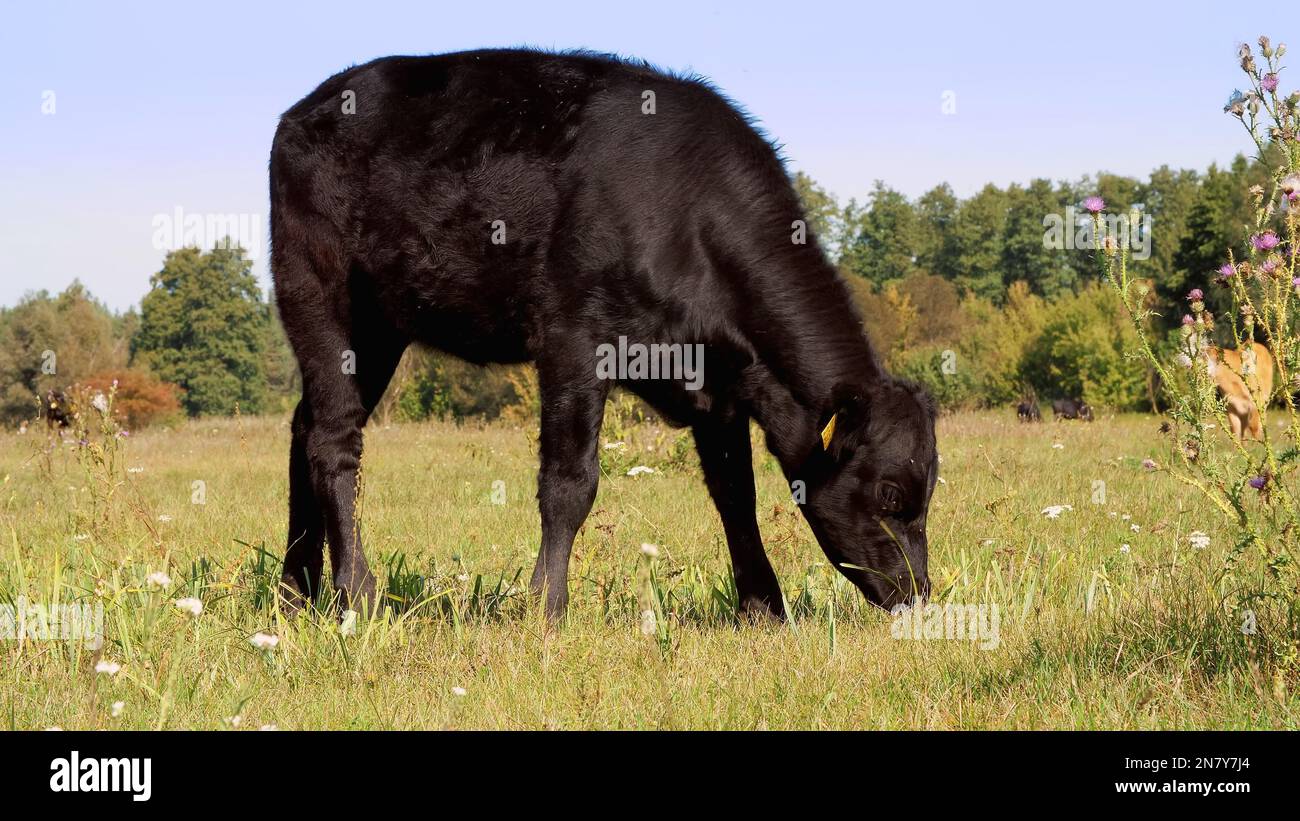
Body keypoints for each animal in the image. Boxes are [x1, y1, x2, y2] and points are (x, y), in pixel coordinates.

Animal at [269, 49, 938, 621]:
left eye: (927, 490)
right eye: (888, 494)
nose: (918, 593)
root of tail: (306, 107)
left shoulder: (721, 381)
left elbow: (735, 492)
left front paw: (763, 609)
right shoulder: (574, 342)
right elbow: (570, 482)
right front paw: (546, 608)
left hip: (380, 330)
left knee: (305, 427)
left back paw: (297, 593)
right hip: (317, 293)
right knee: (333, 440)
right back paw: (356, 594)